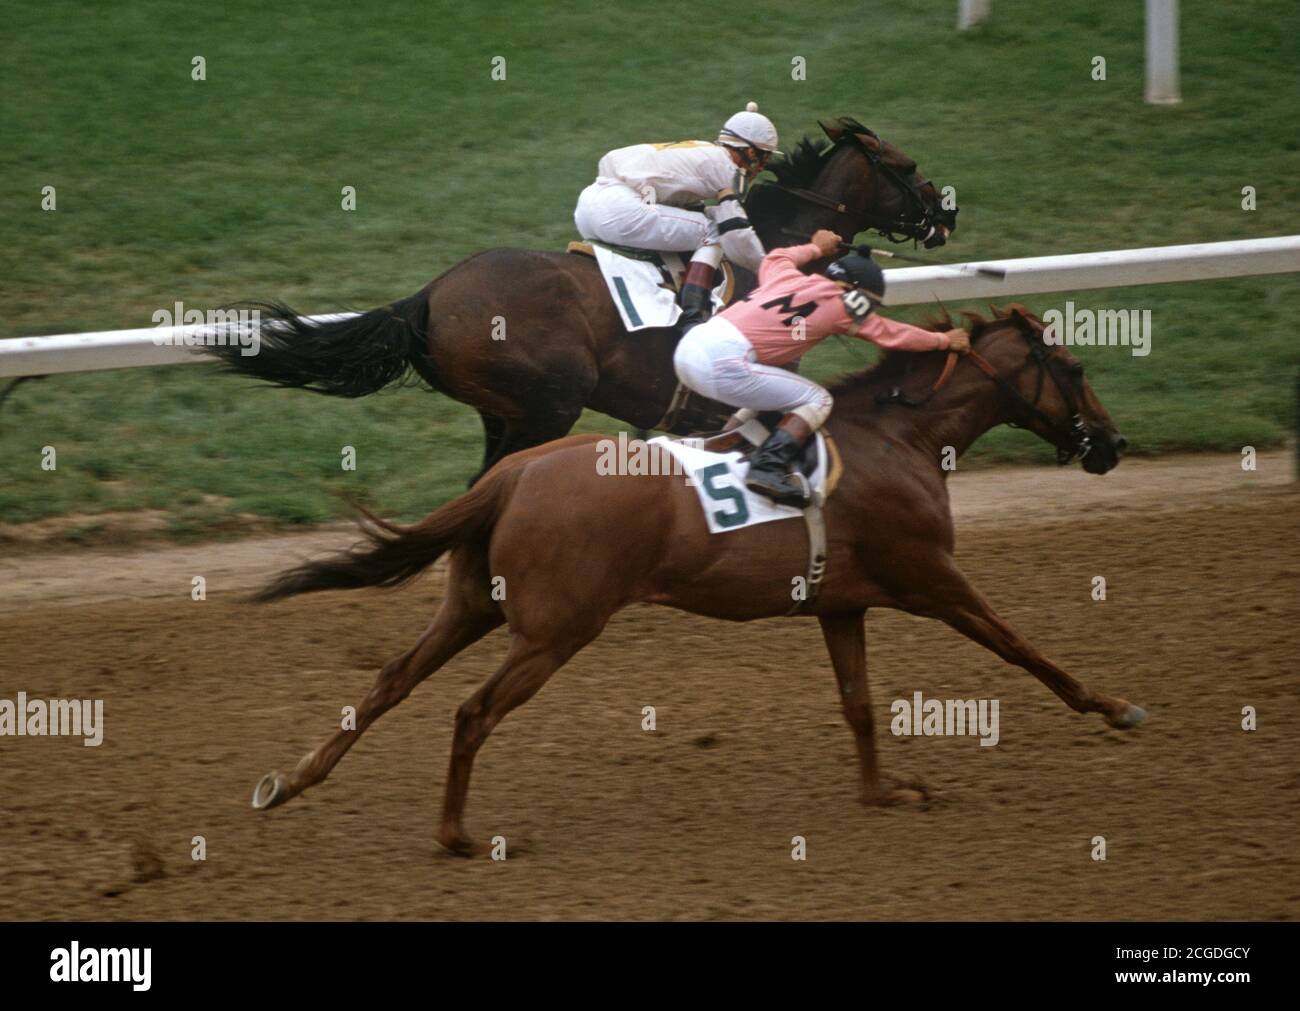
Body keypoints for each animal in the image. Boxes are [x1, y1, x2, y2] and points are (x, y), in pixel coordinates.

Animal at [246, 305, 1144, 856]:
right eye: (1072, 365)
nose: (1113, 442)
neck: (901, 437)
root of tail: (513, 473)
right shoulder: (932, 579)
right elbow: (1023, 647)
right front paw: (1115, 706)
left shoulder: (841, 603)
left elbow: (857, 702)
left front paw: (883, 792)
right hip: (555, 628)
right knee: (472, 711)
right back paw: (457, 836)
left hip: (476, 606)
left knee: (391, 679)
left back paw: (290, 781)